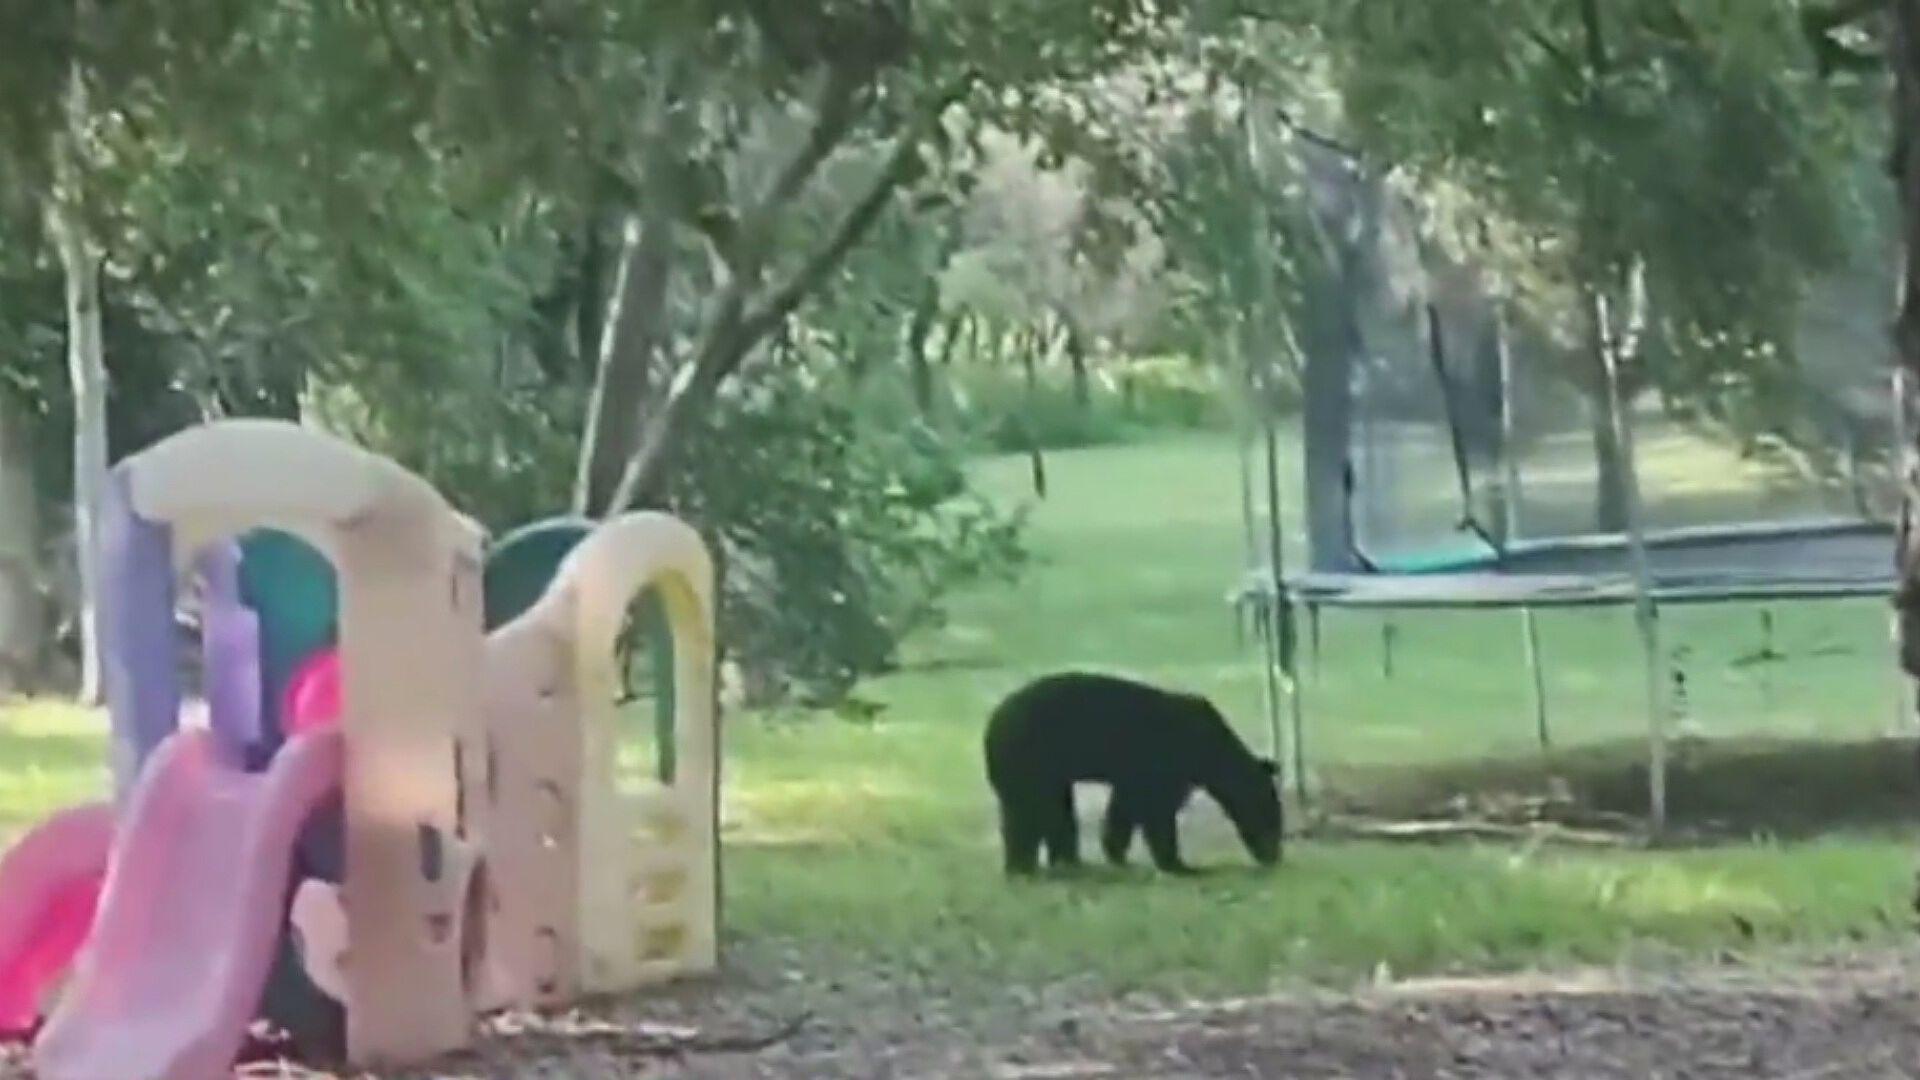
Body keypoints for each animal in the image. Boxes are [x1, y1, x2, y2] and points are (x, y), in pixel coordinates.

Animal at [983, 671, 1282, 876]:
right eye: (1272, 818)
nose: (1274, 857)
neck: (1211, 749)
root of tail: (991, 725)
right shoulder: (1165, 763)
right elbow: (1157, 810)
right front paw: (1180, 865)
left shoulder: (1136, 775)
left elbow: (1125, 808)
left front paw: (1116, 854)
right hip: (1030, 759)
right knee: (1032, 812)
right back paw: (1026, 866)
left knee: (1052, 811)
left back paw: (1062, 863)